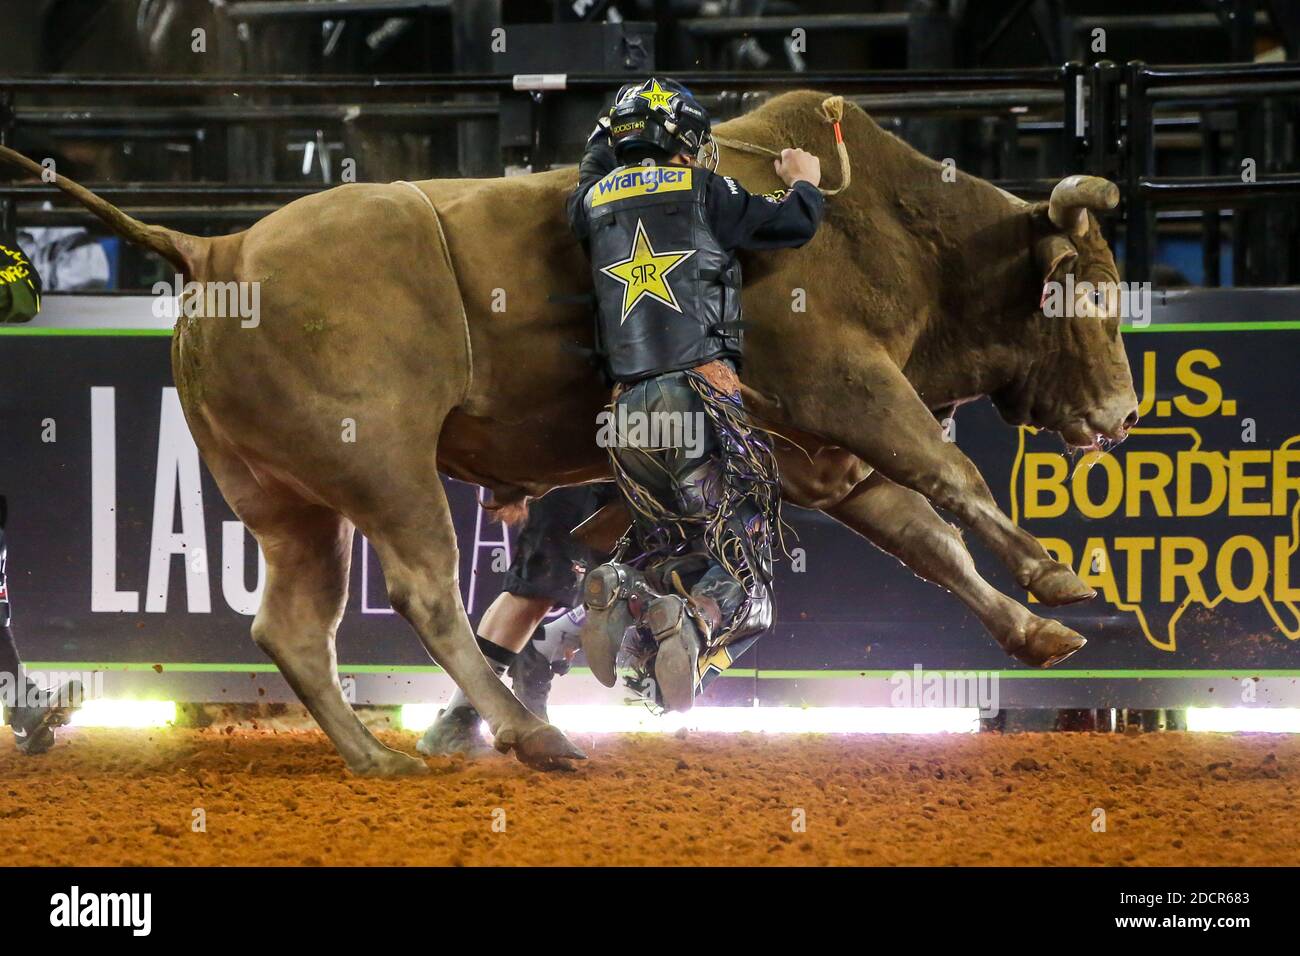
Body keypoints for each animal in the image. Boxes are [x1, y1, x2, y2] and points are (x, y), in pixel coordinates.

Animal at [0, 90, 1137, 775]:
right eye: (1084, 290)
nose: (1122, 416)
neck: (898, 232)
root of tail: (216, 246)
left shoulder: (817, 458)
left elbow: (926, 535)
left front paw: (1035, 628)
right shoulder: (843, 384)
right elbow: (950, 476)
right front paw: (1058, 575)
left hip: (286, 499)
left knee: (292, 625)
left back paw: (380, 755)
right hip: (383, 468)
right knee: (424, 591)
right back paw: (528, 733)